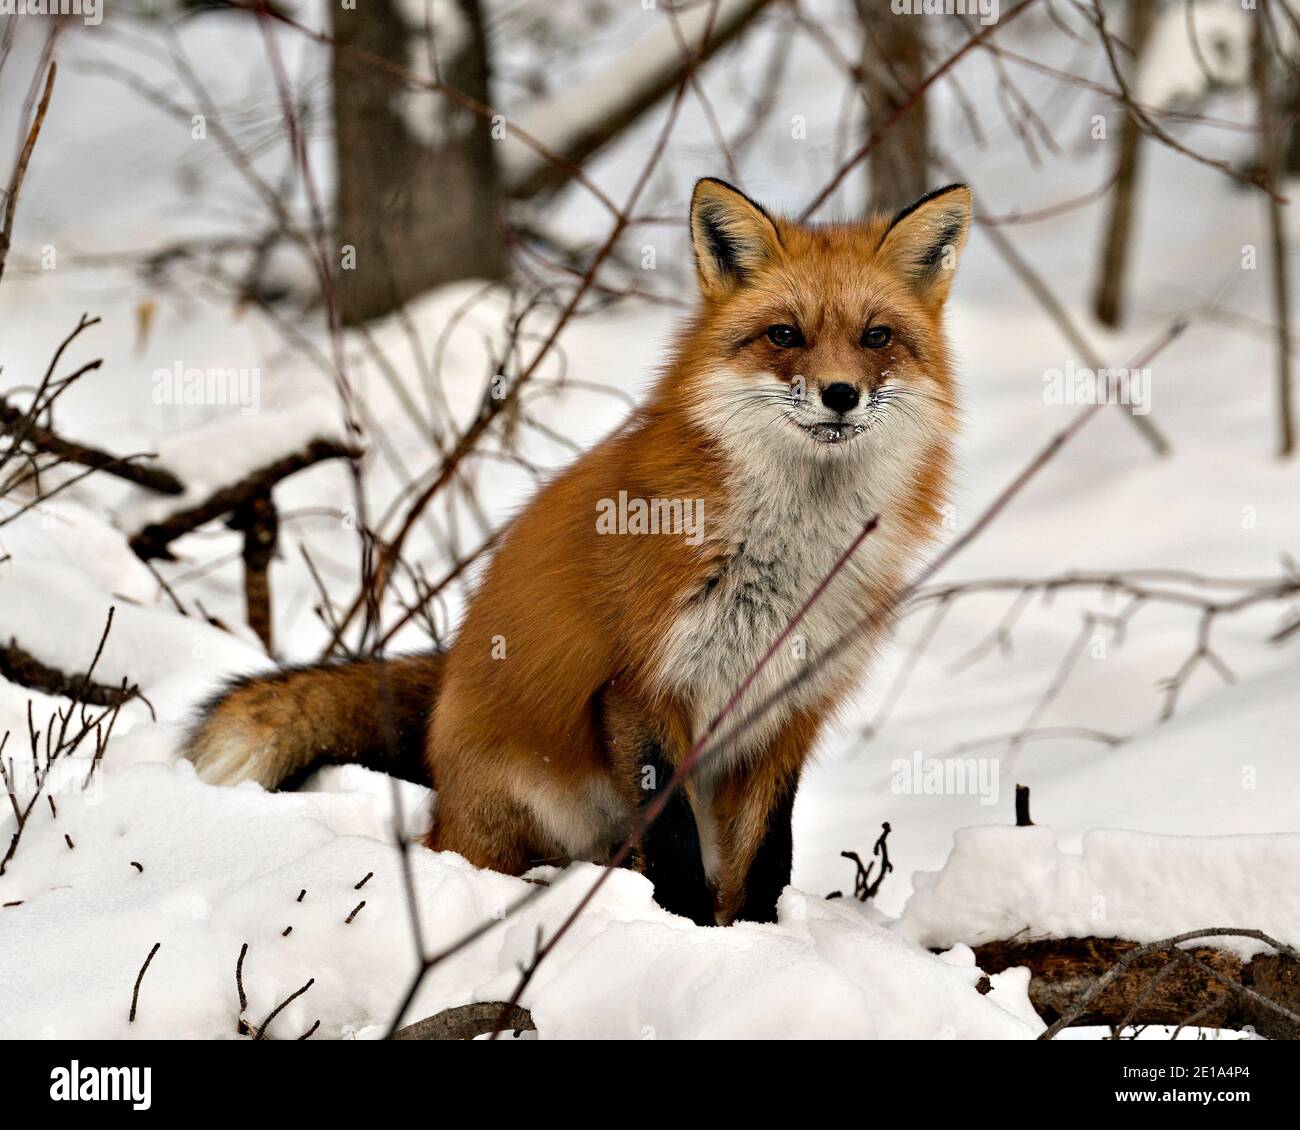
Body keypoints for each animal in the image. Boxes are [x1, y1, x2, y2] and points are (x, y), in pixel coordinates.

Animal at [187, 178, 970, 926]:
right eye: (784, 334)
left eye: (876, 337)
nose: (840, 394)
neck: (786, 556)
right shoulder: (640, 686)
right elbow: (673, 840)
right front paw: (688, 931)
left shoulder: (787, 706)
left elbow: (768, 852)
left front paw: (760, 937)